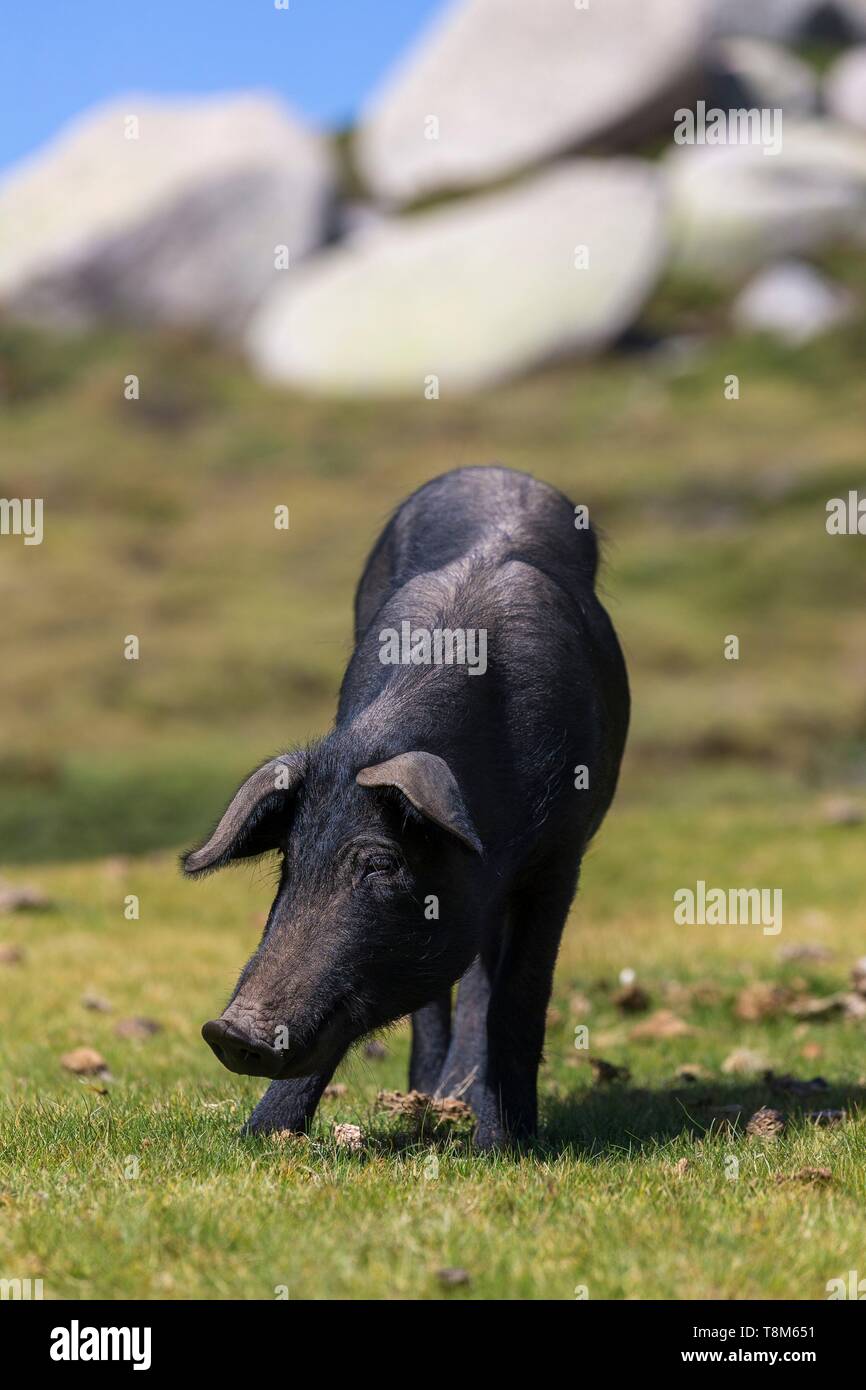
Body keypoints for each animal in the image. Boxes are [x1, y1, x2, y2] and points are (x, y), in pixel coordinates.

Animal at [185, 465, 629, 1147]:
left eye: (381, 864)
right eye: (289, 864)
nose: (231, 1032)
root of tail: (493, 469)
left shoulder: (561, 852)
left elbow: (520, 995)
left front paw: (505, 1149)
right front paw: (261, 1137)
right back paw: (428, 1098)